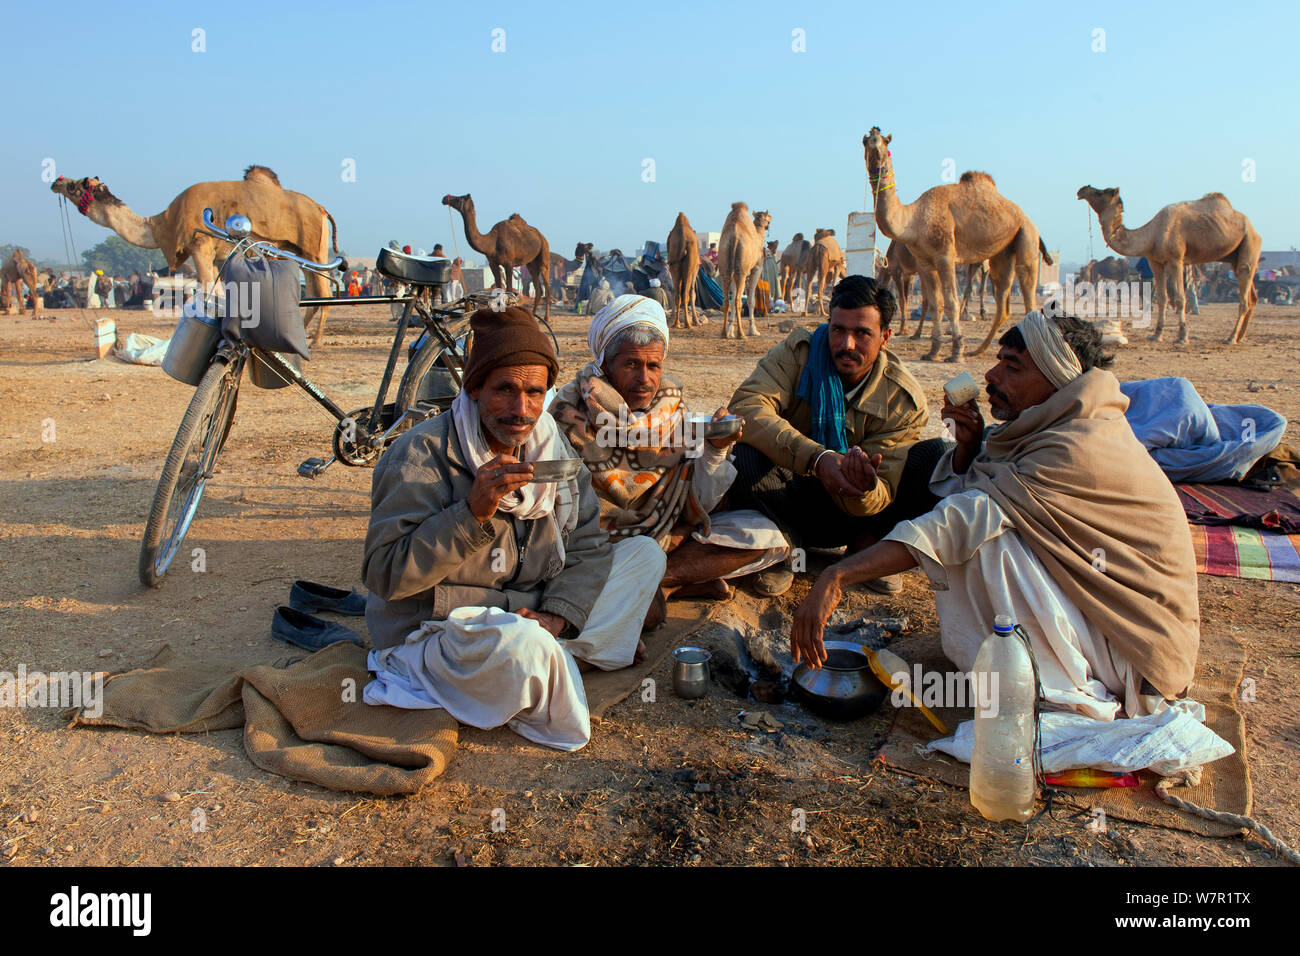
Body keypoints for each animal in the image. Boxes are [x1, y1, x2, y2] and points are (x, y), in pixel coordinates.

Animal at [50, 169, 342, 345]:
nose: (56, 182)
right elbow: (221, 292)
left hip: (314, 247)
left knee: (324, 291)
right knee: (314, 291)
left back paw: (314, 340)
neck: (159, 224)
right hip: (299, 252)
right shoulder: (217, 256)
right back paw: (302, 333)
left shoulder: (199, 245)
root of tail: (322, 209)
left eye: (77, 185)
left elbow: (207, 290)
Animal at [717, 202, 770, 339]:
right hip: (741, 271)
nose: (768, 224)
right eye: (769, 218)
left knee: (727, 300)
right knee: (738, 300)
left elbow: (733, 298)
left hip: (725, 267)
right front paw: (753, 330)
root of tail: (734, 235)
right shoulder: (757, 269)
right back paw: (741, 334)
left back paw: (723, 333)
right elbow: (751, 300)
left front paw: (730, 330)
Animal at [863, 127, 1053, 360]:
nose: (875, 136)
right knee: (1002, 302)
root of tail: (1030, 222)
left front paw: (956, 350)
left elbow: (951, 302)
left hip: (1026, 238)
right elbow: (935, 303)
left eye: (885, 143)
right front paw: (933, 351)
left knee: (1028, 293)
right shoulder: (924, 262)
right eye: (865, 142)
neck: (914, 219)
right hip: (1002, 254)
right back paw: (978, 350)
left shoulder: (945, 256)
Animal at [1077, 186, 1261, 344]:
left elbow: (1179, 297)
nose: (1082, 189)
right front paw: (1156, 335)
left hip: (1249, 245)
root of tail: (1255, 231)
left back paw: (1231, 338)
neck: (1151, 234)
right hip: (1235, 258)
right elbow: (1162, 298)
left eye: (1102, 192)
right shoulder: (1155, 262)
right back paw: (1241, 336)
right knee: (1252, 297)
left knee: (1244, 299)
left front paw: (1182, 336)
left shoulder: (1176, 260)